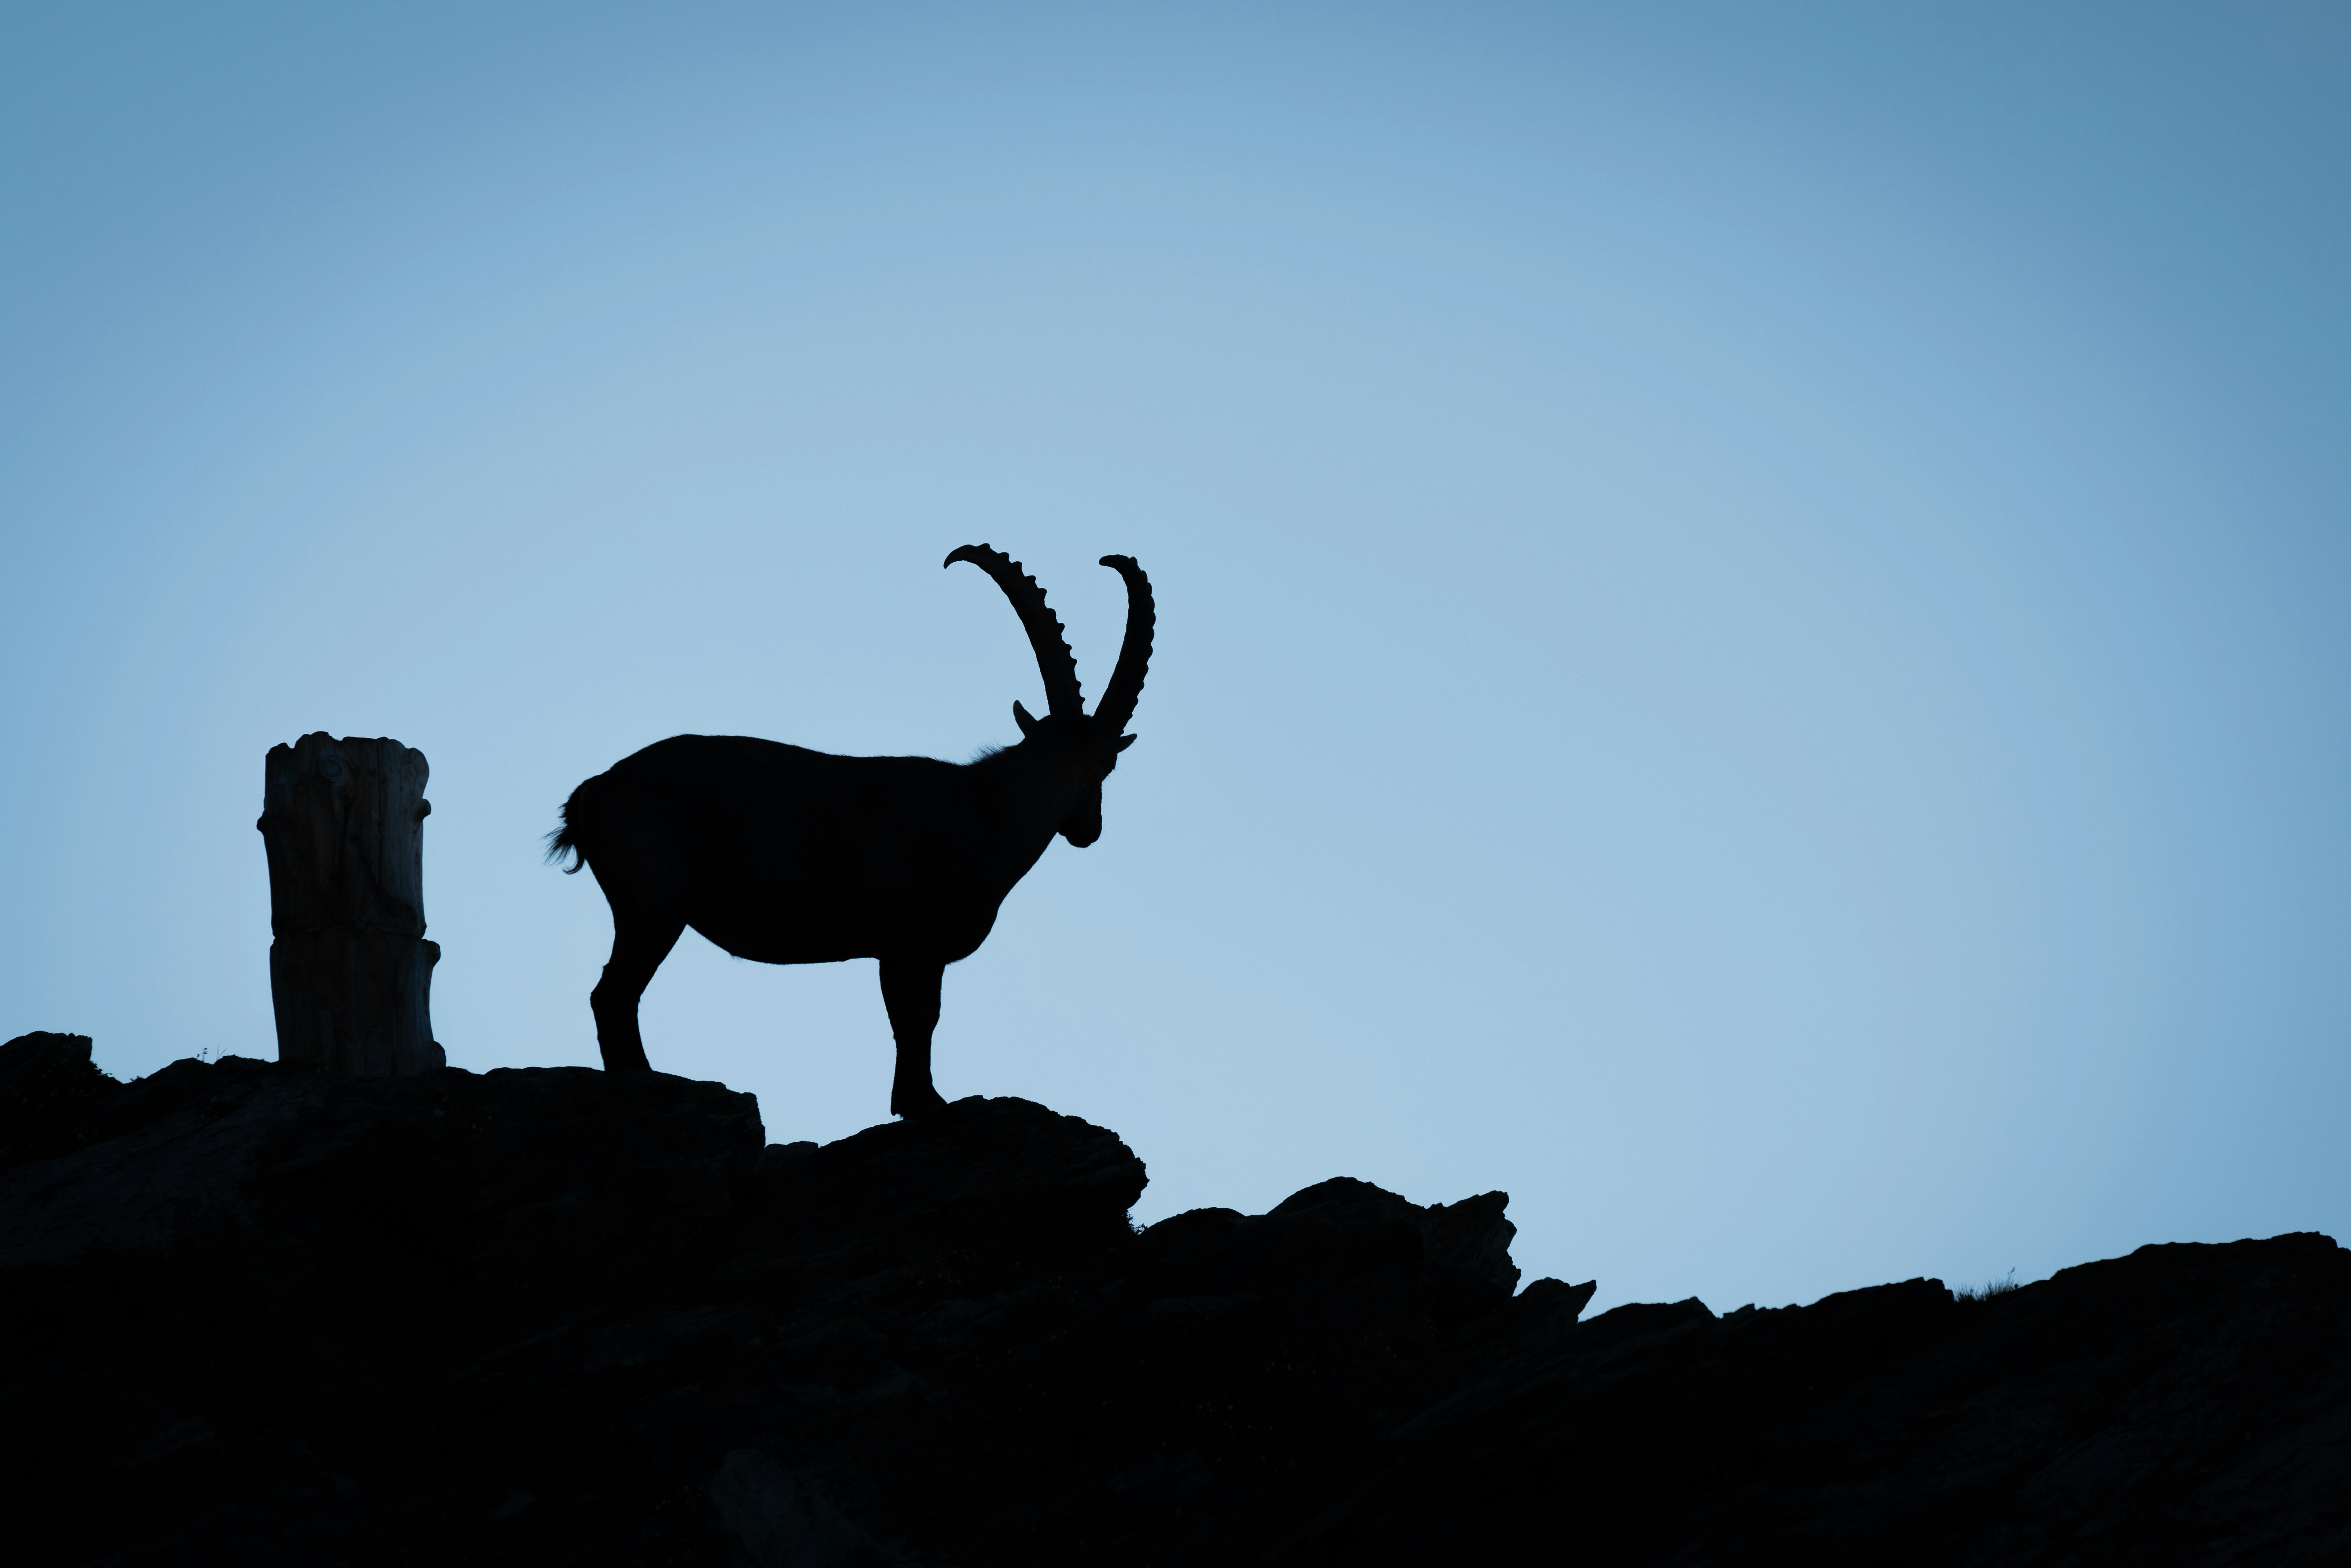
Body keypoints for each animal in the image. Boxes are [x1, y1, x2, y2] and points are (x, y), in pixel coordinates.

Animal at [547, 546, 1154, 1116]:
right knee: (613, 993)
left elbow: (909, 1019)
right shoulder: (914, 942)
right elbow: (918, 1019)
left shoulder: (896, 950)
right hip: (656, 904)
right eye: (1106, 766)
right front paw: (924, 1101)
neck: (990, 809)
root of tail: (593, 793)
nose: (1090, 829)